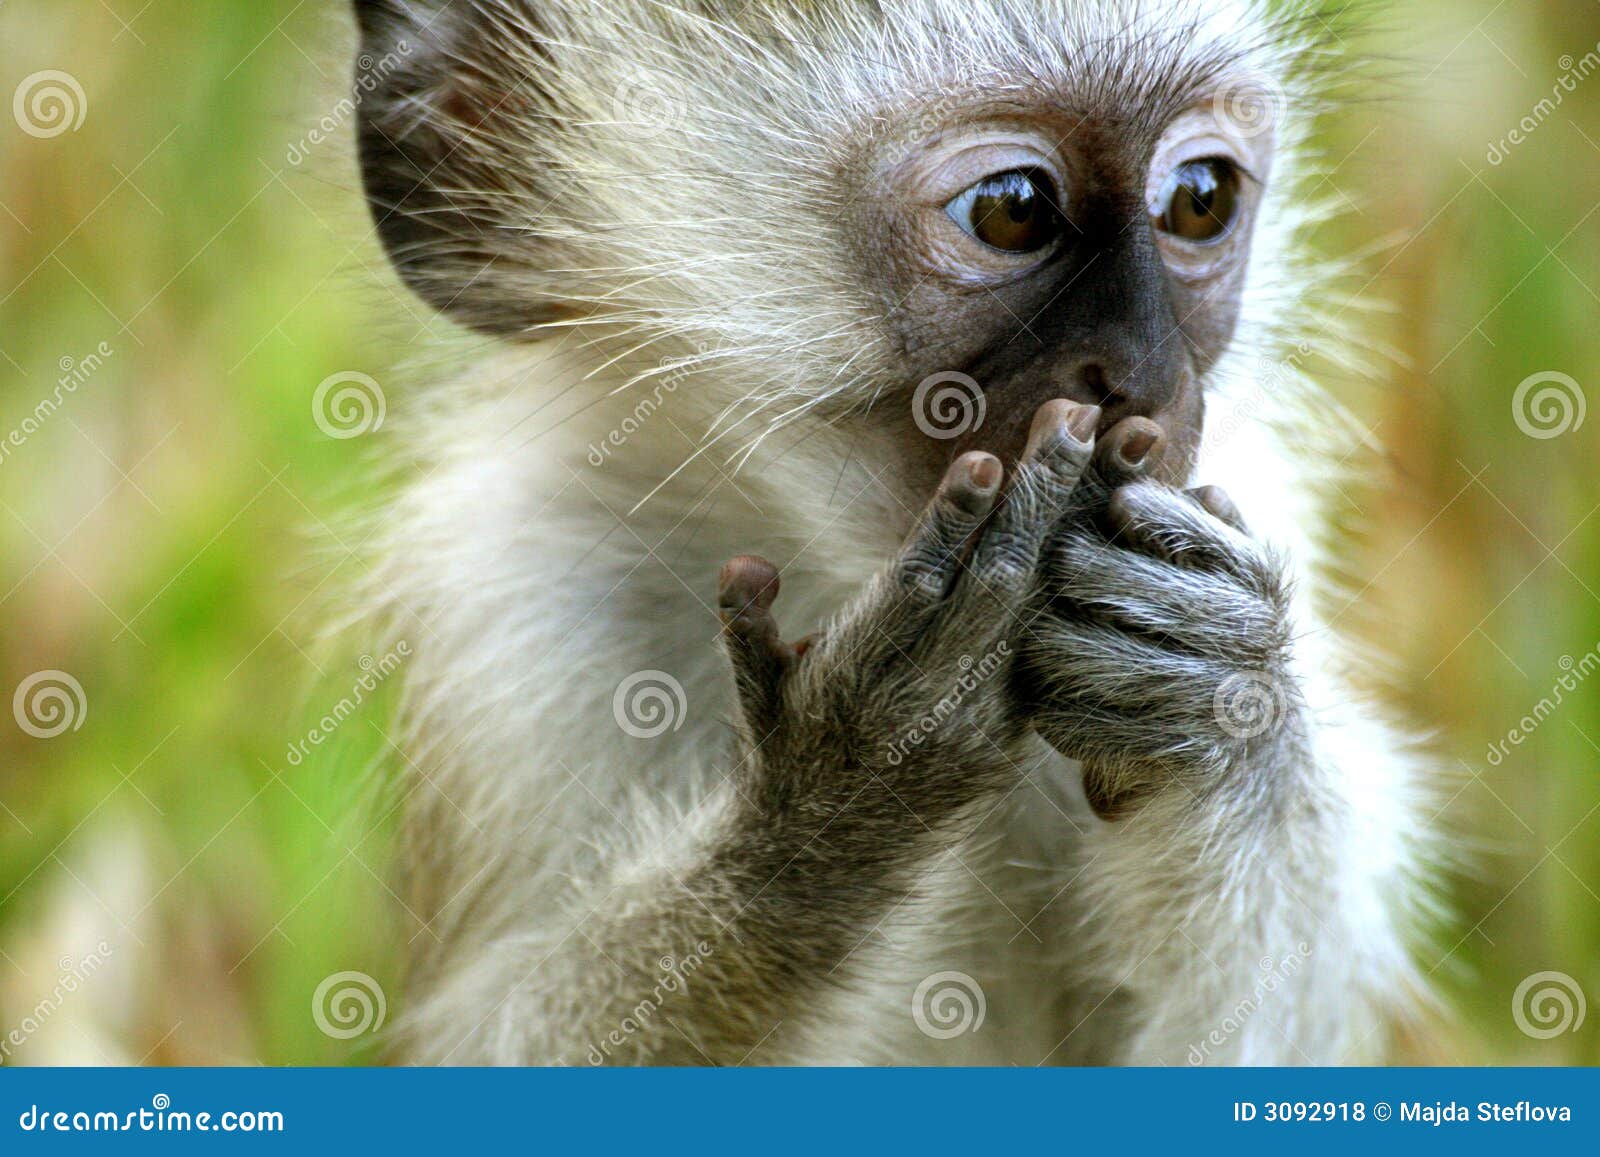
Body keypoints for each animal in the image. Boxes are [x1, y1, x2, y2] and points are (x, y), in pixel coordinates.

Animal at [345, 0, 1440, 1065]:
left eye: (1199, 199)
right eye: (1012, 208)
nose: (1146, 376)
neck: (825, 557)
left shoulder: (1240, 496)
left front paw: (1227, 687)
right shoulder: (519, 591)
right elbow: (490, 1041)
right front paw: (837, 803)